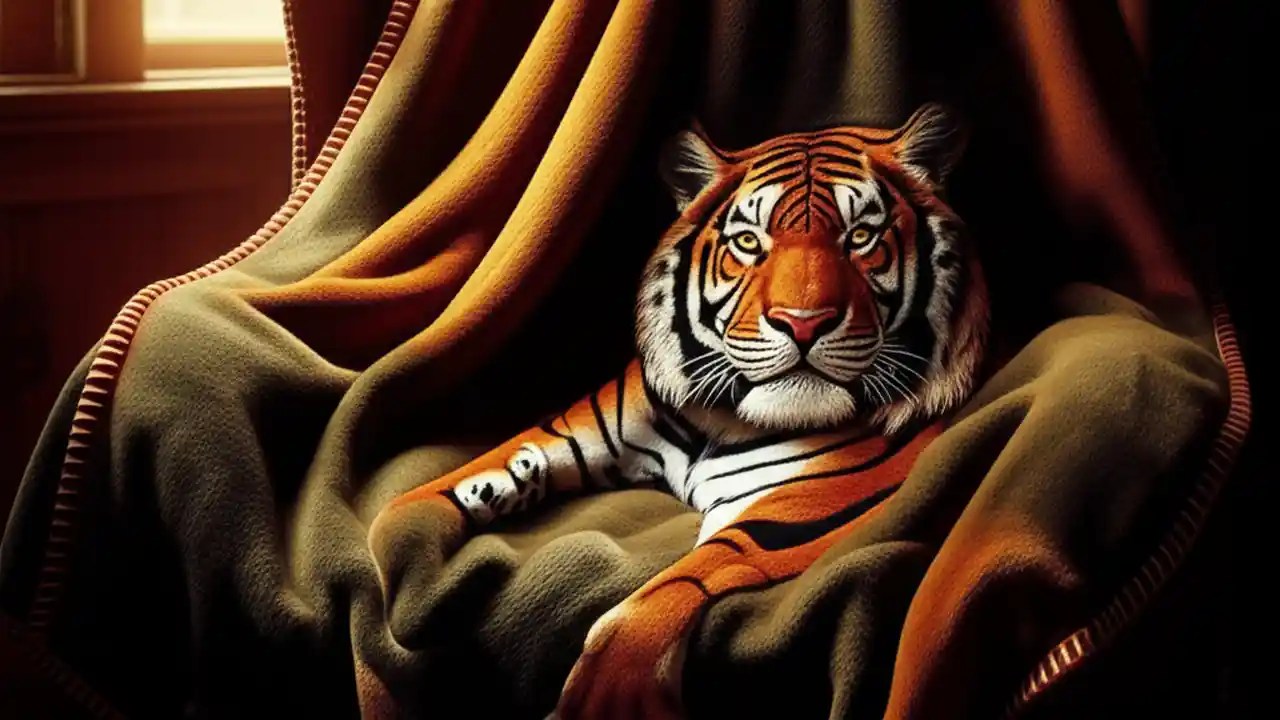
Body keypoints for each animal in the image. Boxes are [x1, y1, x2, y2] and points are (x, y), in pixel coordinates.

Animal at [369, 103, 988, 719]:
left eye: (860, 237)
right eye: (748, 242)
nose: (803, 323)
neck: (722, 418)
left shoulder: (803, 509)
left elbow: (649, 604)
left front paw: (603, 700)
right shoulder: (573, 429)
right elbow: (414, 503)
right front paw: (406, 569)